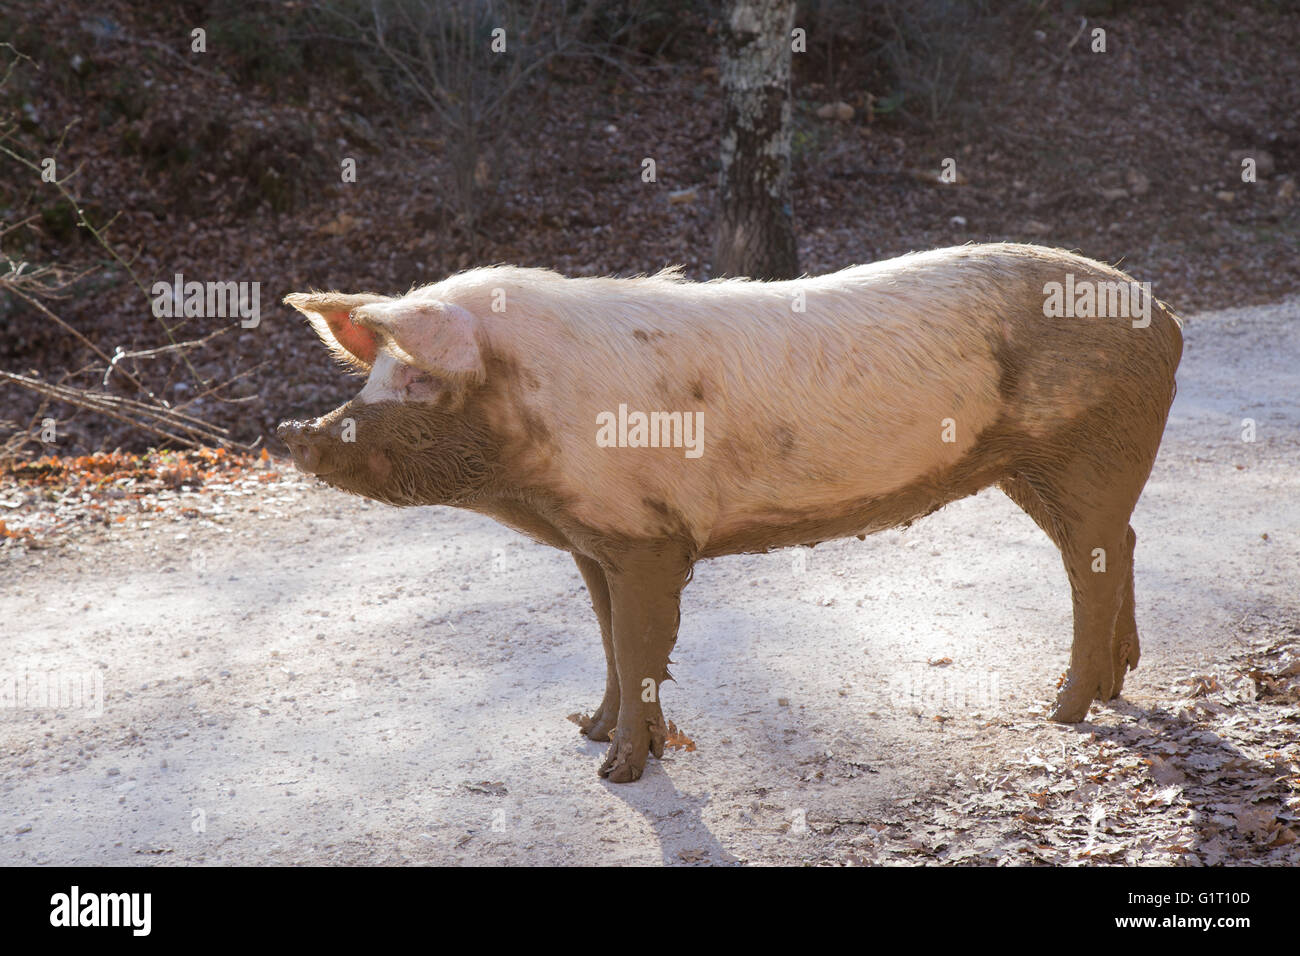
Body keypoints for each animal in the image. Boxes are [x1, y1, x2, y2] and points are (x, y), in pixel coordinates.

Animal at [279, 242, 1183, 783]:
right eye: (373, 375)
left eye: (417, 379)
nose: (294, 435)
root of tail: (1167, 318)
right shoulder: (593, 543)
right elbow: (607, 640)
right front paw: (588, 733)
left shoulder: (649, 539)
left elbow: (639, 645)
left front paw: (618, 772)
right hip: (1050, 473)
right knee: (1123, 545)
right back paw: (1109, 685)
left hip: (1085, 452)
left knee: (1092, 568)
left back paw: (1062, 710)